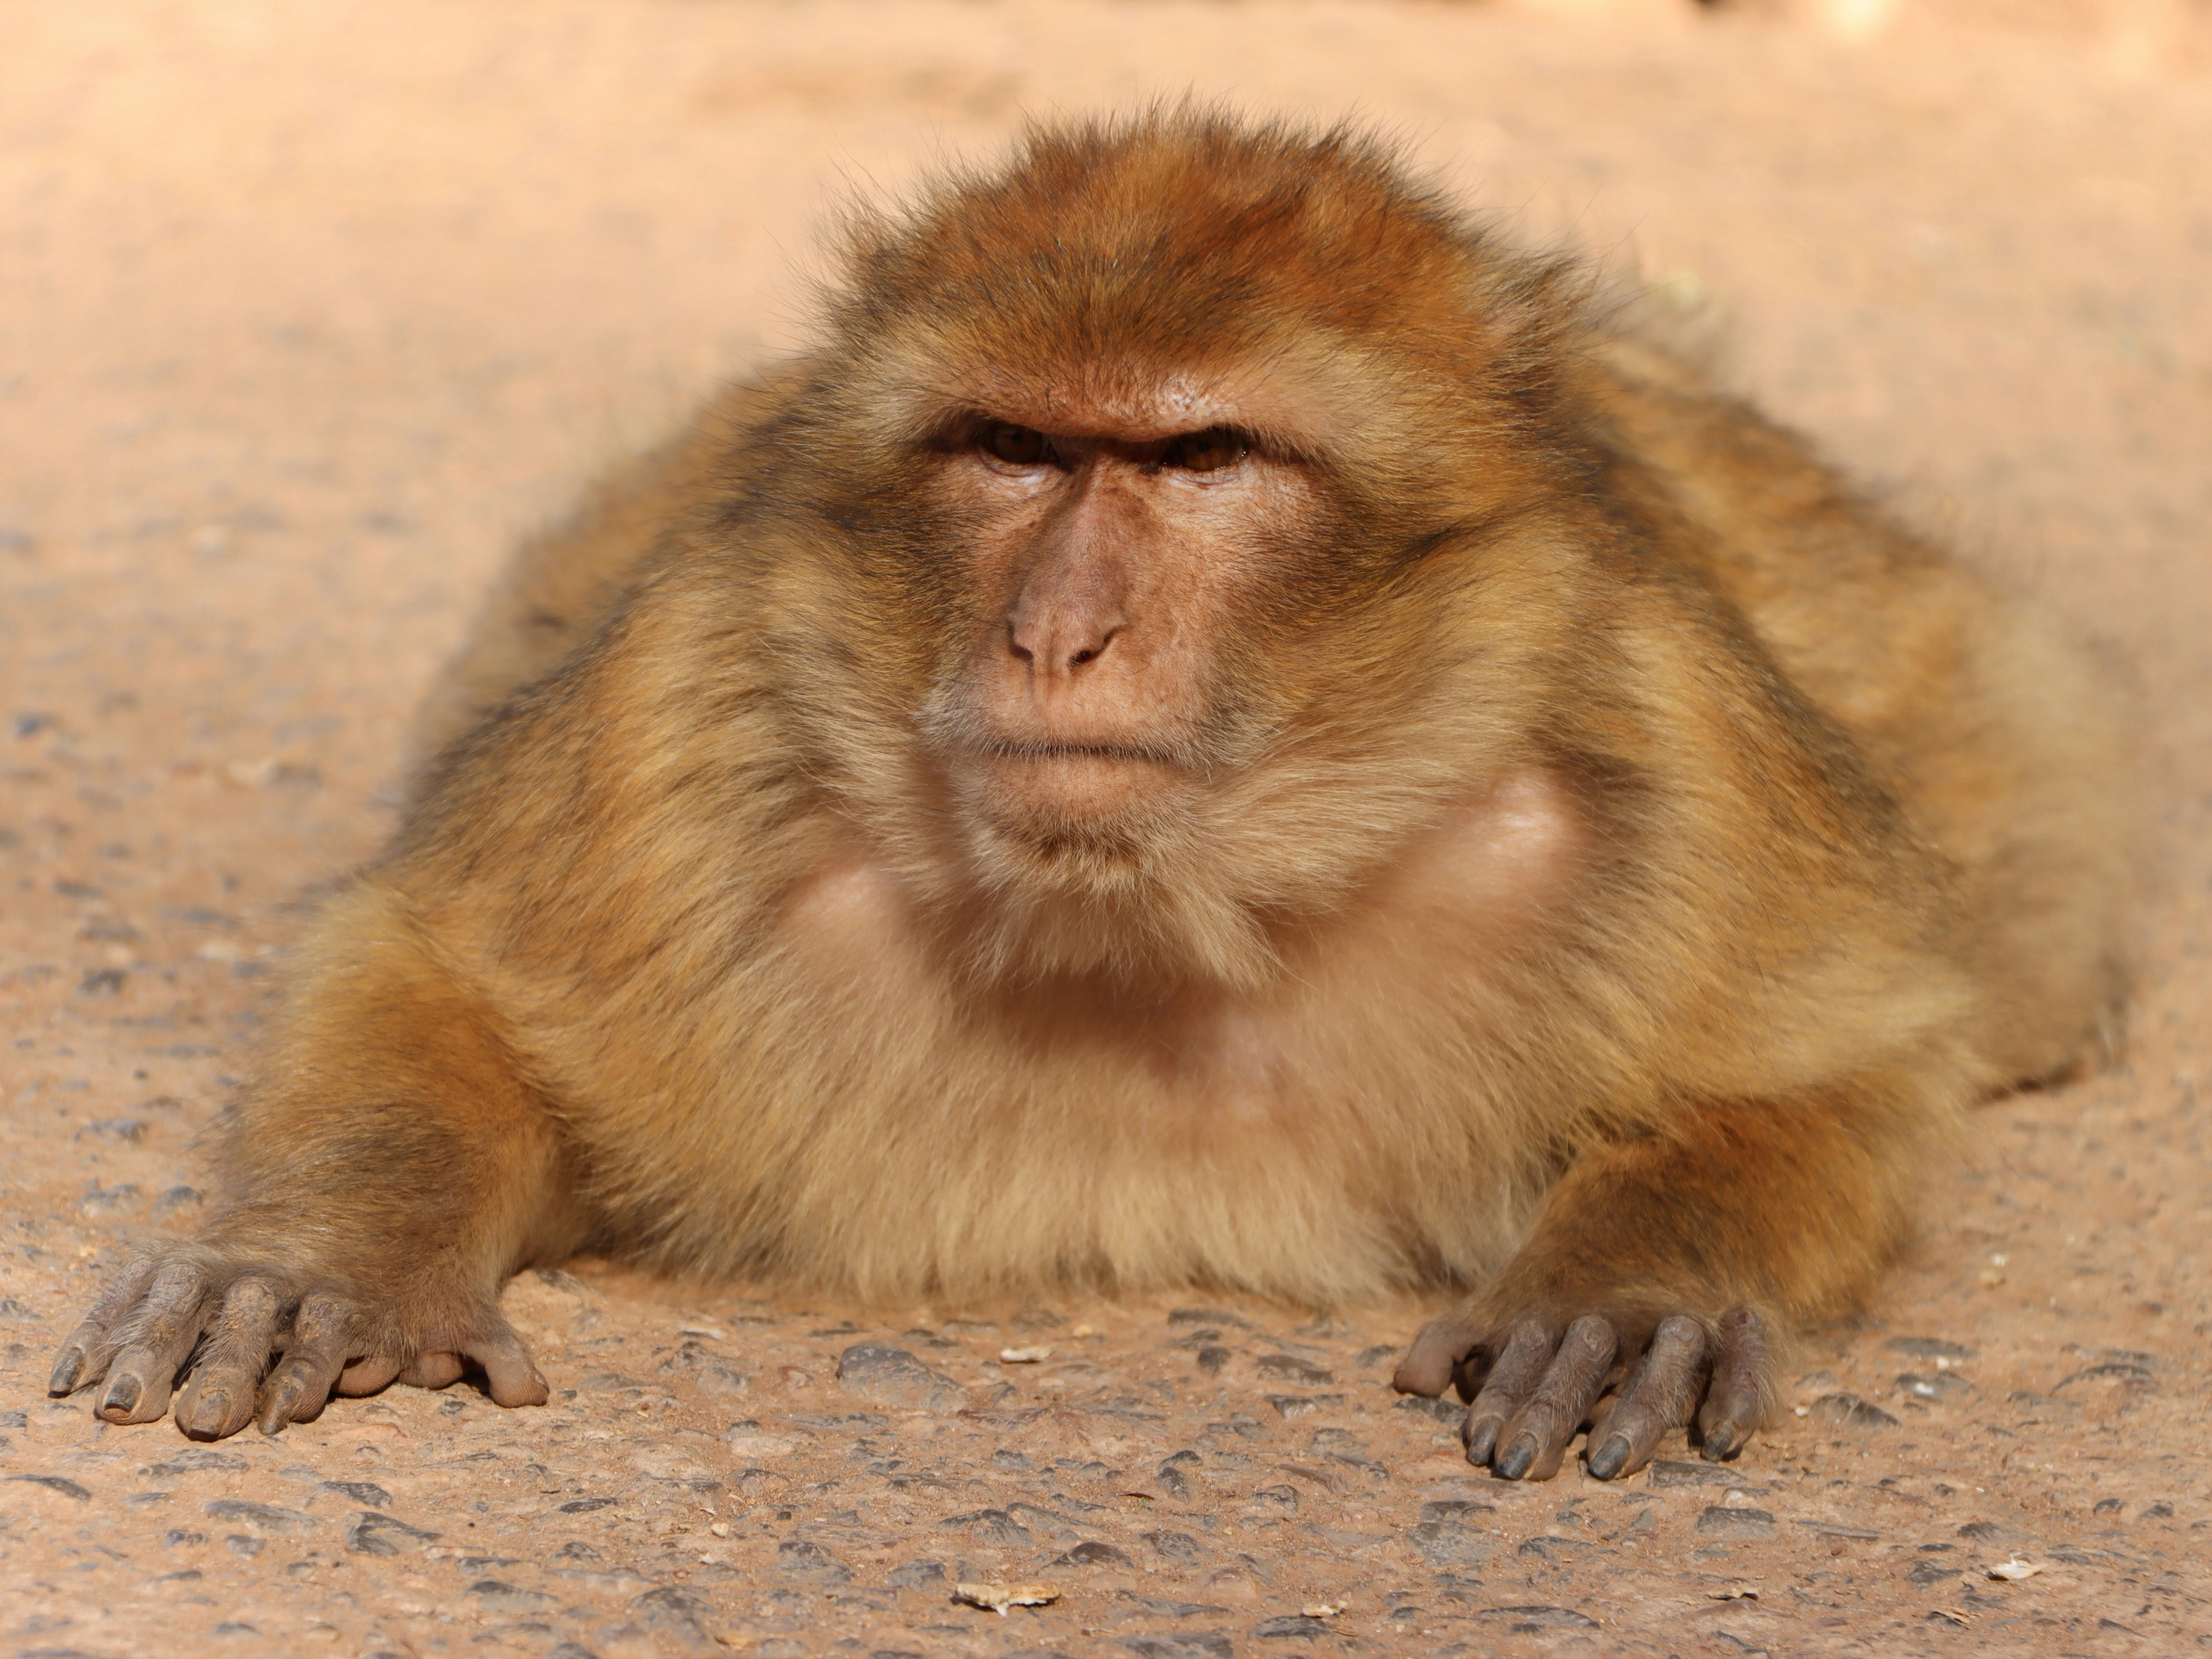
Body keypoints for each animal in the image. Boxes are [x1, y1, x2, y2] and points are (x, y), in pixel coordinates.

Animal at [49, 110, 2131, 1483]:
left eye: (1200, 457)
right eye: (1008, 448)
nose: (1056, 630)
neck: (1168, 896)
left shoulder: (1673, 739)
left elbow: (1841, 1058)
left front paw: (1635, 1270)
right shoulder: (678, 726)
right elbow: (431, 968)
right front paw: (330, 1251)